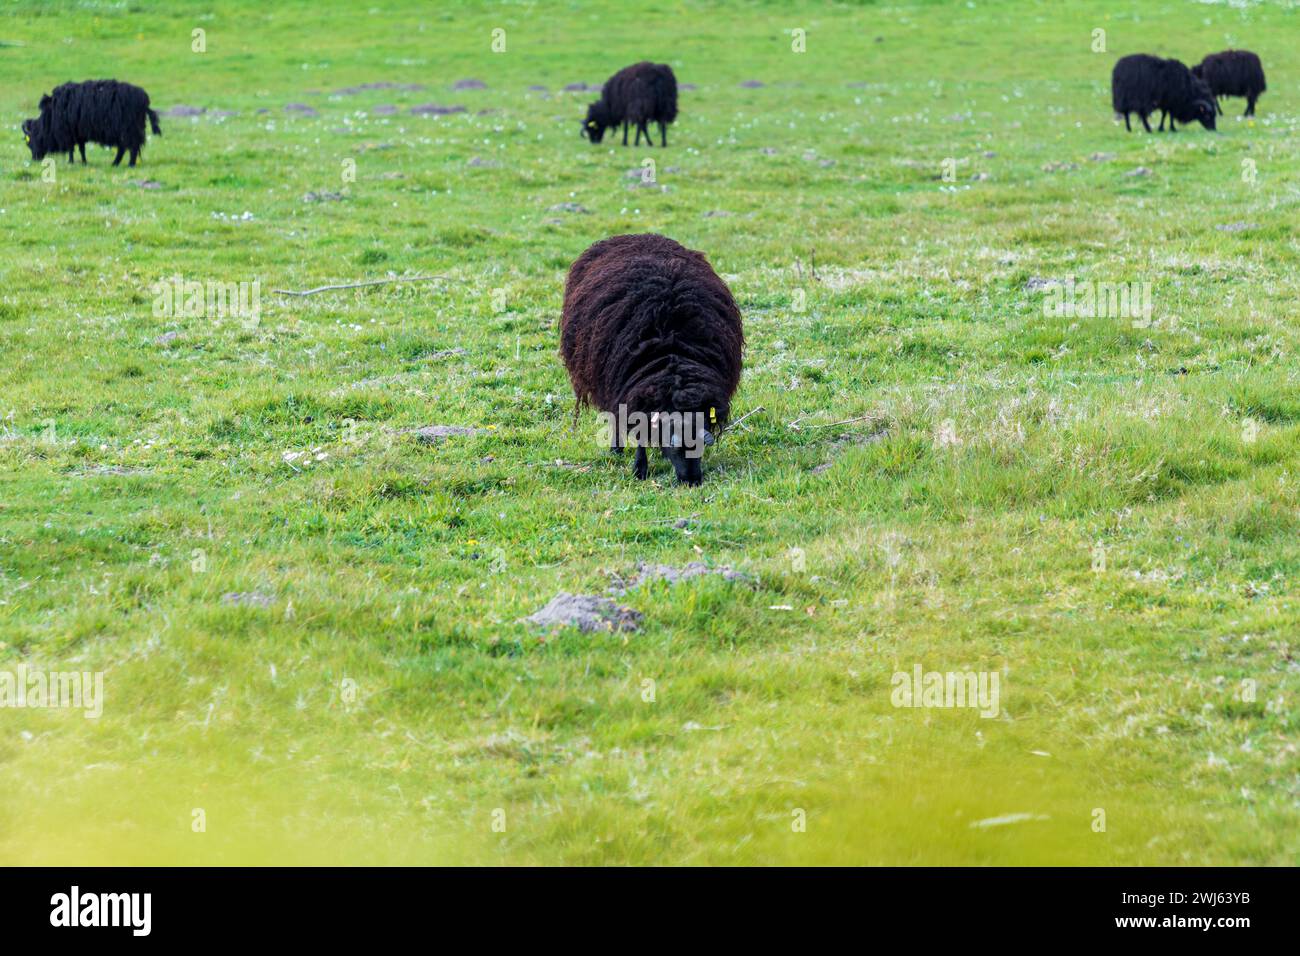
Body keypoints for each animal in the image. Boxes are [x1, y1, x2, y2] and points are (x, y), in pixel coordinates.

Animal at [22, 79, 161, 167]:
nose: (35, 159)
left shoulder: (69, 133)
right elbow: (82, 149)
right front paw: (84, 162)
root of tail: (144, 101)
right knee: (125, 148)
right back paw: (115, 164)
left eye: (31, 141)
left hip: (128, 131)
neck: (49, 119)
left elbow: (72, 150)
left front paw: (71, 162)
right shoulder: (79, 134)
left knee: (131, 148)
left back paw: (128, 164)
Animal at [560, 234, 744, 485]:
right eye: (675, 447)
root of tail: (636, 235)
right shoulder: (633, 392)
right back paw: (616, 450)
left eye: (700, 447)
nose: (692, 481)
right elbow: (638, 433)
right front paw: (639, 470)